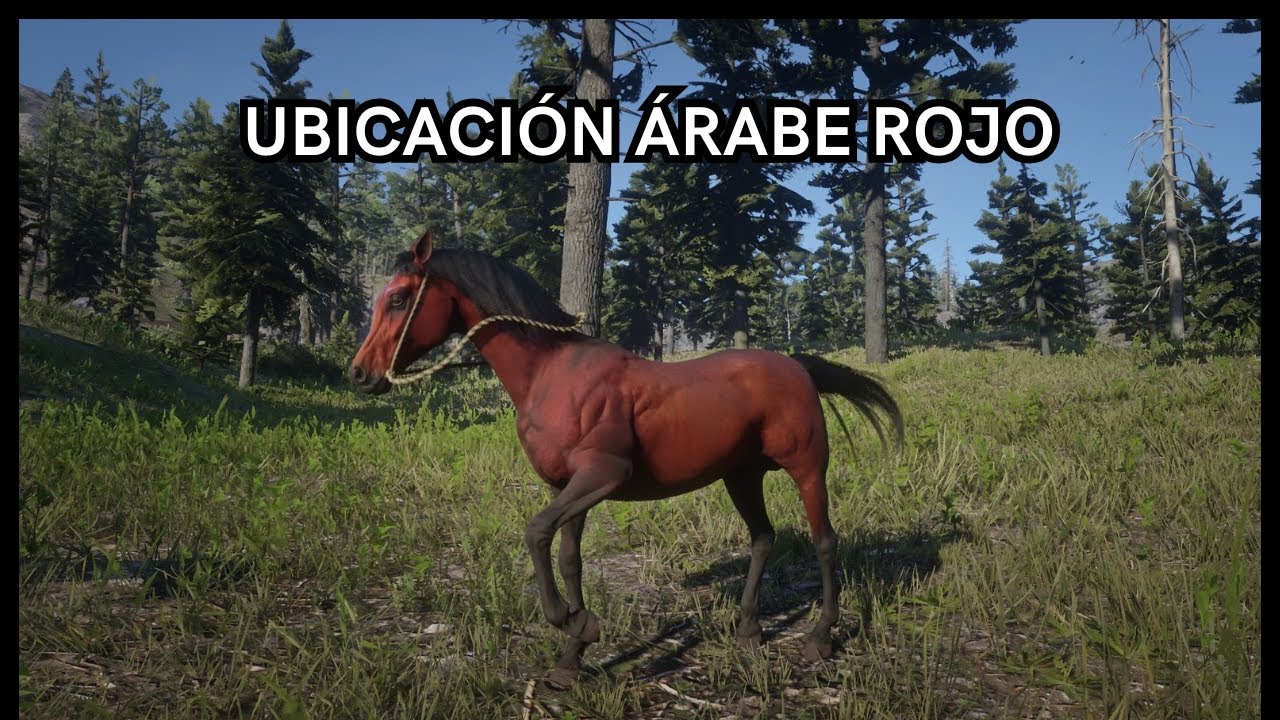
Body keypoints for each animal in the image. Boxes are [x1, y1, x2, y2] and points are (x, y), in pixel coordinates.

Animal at [350, 230, 903, 688]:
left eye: (399, 298)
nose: (360, 373)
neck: (552, 375)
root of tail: (798, 367)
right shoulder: (565, 486)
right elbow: (566, 557)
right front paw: (571, 658)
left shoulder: (603, 474)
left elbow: (535, 533)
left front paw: (578, 624)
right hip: (740, 477)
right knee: (763, 538)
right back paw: (748, 629)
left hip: (807, 468)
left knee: (825, 542)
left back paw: (820, 638)